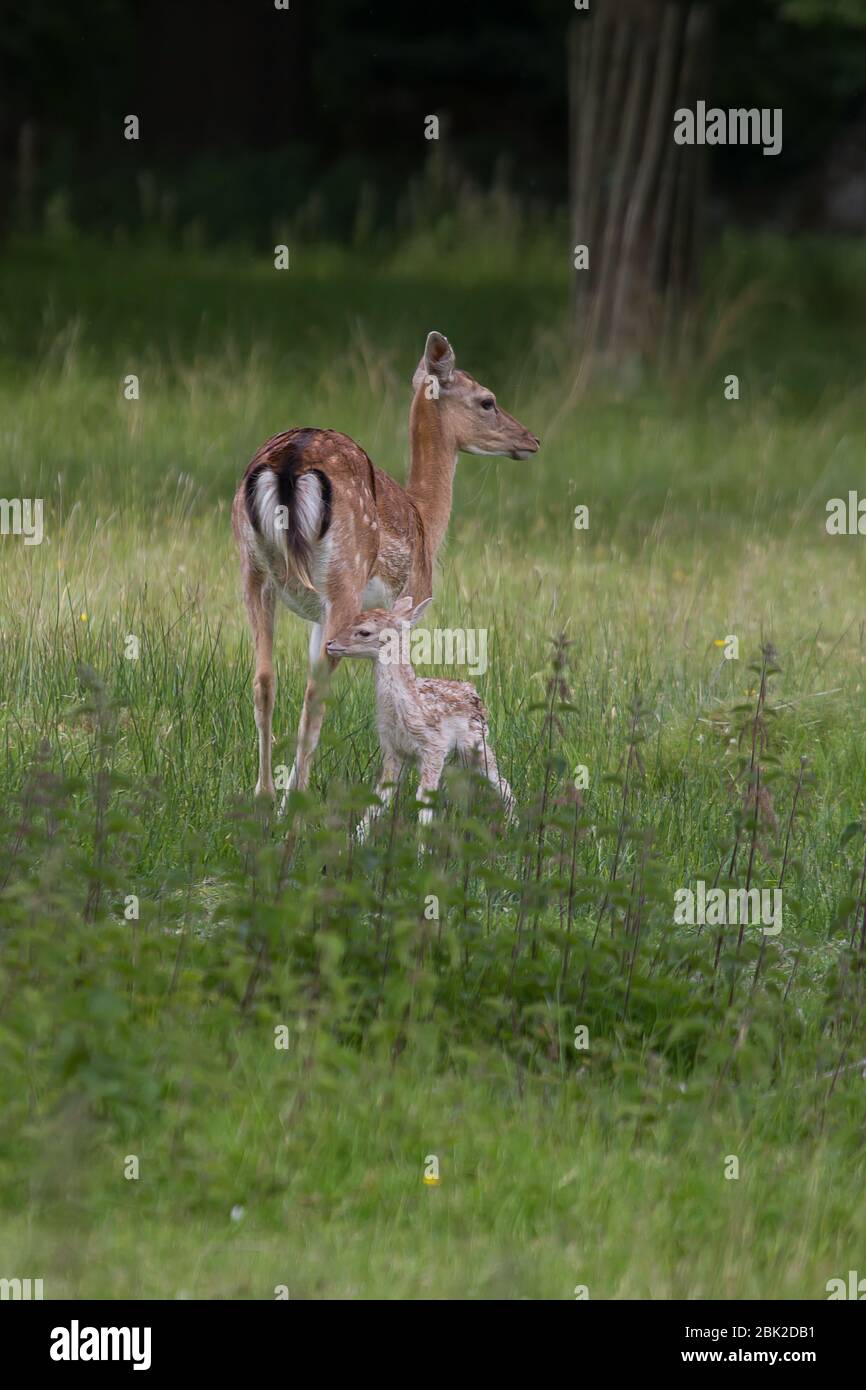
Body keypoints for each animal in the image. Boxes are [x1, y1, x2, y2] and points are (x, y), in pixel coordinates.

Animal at [231, 330, 539, 810]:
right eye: (487, 400)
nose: (530, 439)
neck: (425, 519)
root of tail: (289, 464)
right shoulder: (406, 601)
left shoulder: (318, 616)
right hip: (344, 575)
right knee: (315, 690)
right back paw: (295, 801)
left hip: (252, 569)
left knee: (264, 679)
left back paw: (264, 798)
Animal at [324, 596, 516, 836]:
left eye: (364, 631)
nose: (329, 644)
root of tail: (473, 692)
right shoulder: (392, 750)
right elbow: (380, 798)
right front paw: (357, 837)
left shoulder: (434, 748)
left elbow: (424, 801)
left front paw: (422, 846)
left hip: (477, 744)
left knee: (503, 784)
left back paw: (512, 827)